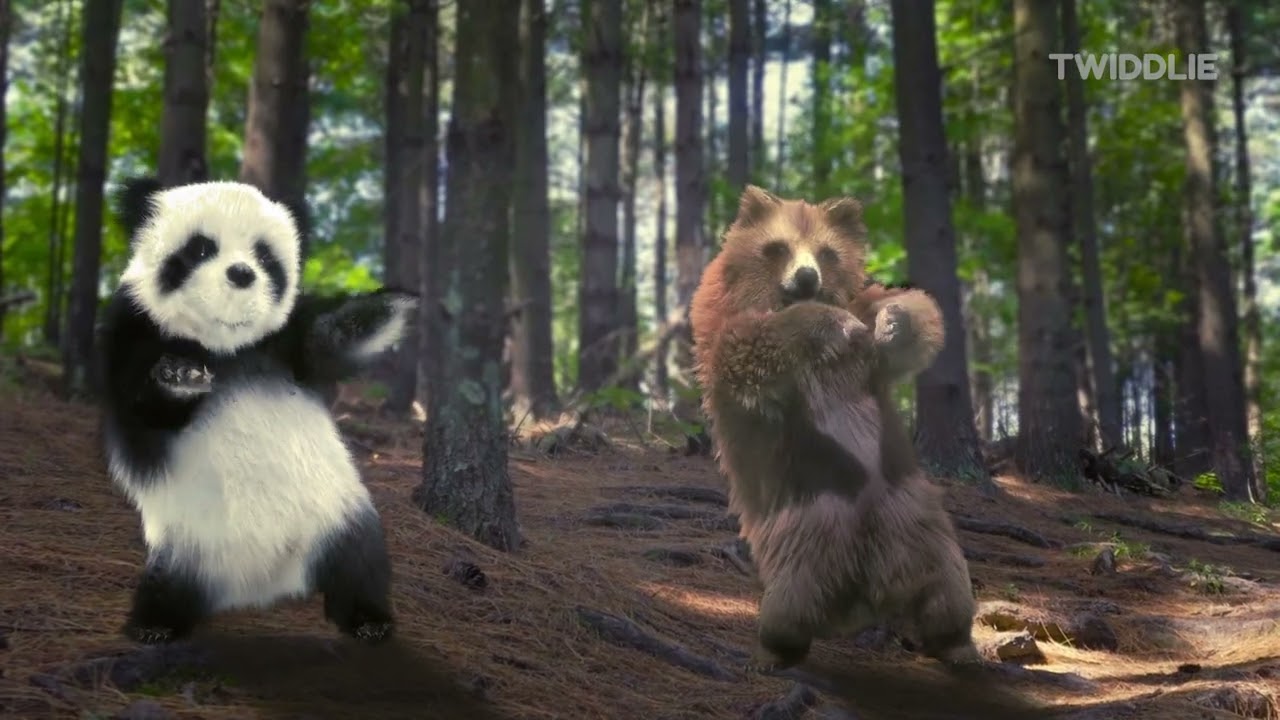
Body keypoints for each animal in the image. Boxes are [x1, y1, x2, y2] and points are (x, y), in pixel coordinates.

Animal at [689, 185, 979, 672]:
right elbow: (748, 346)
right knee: (790, 602)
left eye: (827, 252)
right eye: (778, 247)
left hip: (919, 521)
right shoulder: (726, 332)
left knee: (949, 590)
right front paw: (824, 321)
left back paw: (959, 646)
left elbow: (912, 313)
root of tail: (867, 587)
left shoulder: (867, 354)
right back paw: (773, 649)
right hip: (807, 528)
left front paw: (892, 320)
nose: (807, 277)